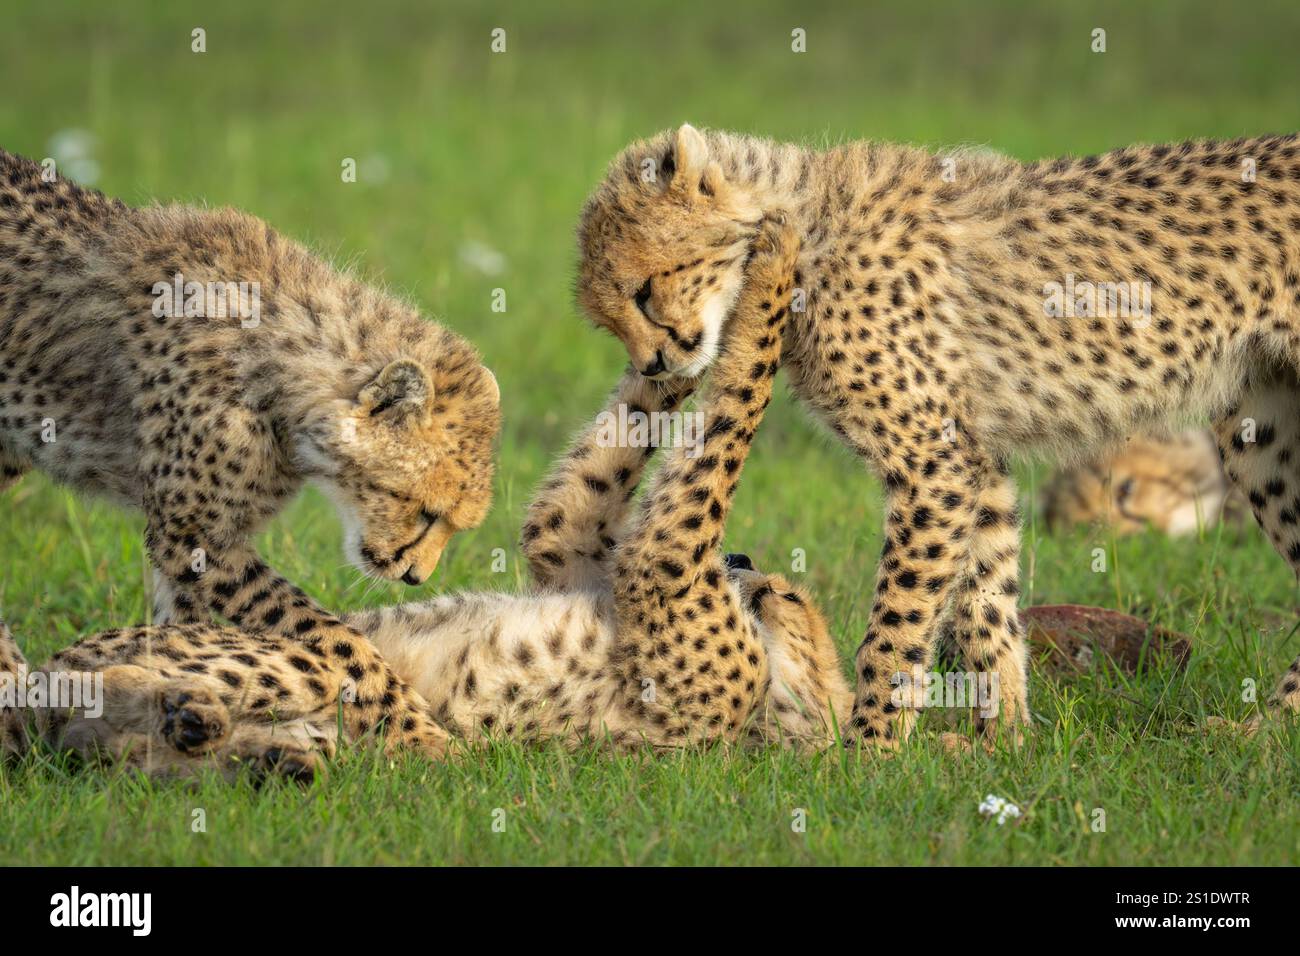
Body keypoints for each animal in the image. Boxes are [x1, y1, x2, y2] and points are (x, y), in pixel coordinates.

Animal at [0, 147, 500, 758]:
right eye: (426, 511)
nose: (415, 579)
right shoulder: (196, 537)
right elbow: (332, 634)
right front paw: (420, 733)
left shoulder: (189, 551)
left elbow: (189, 627)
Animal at [0, 219, 853, 780]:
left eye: (789, 594)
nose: (742, 557)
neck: (767, 699)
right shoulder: (576, 543)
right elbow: (624, 447)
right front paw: (712, 297)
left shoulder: (664, 567)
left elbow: (731, 427)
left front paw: (774, 274)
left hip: (289, 669)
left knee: (70, 706)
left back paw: (204, 726)